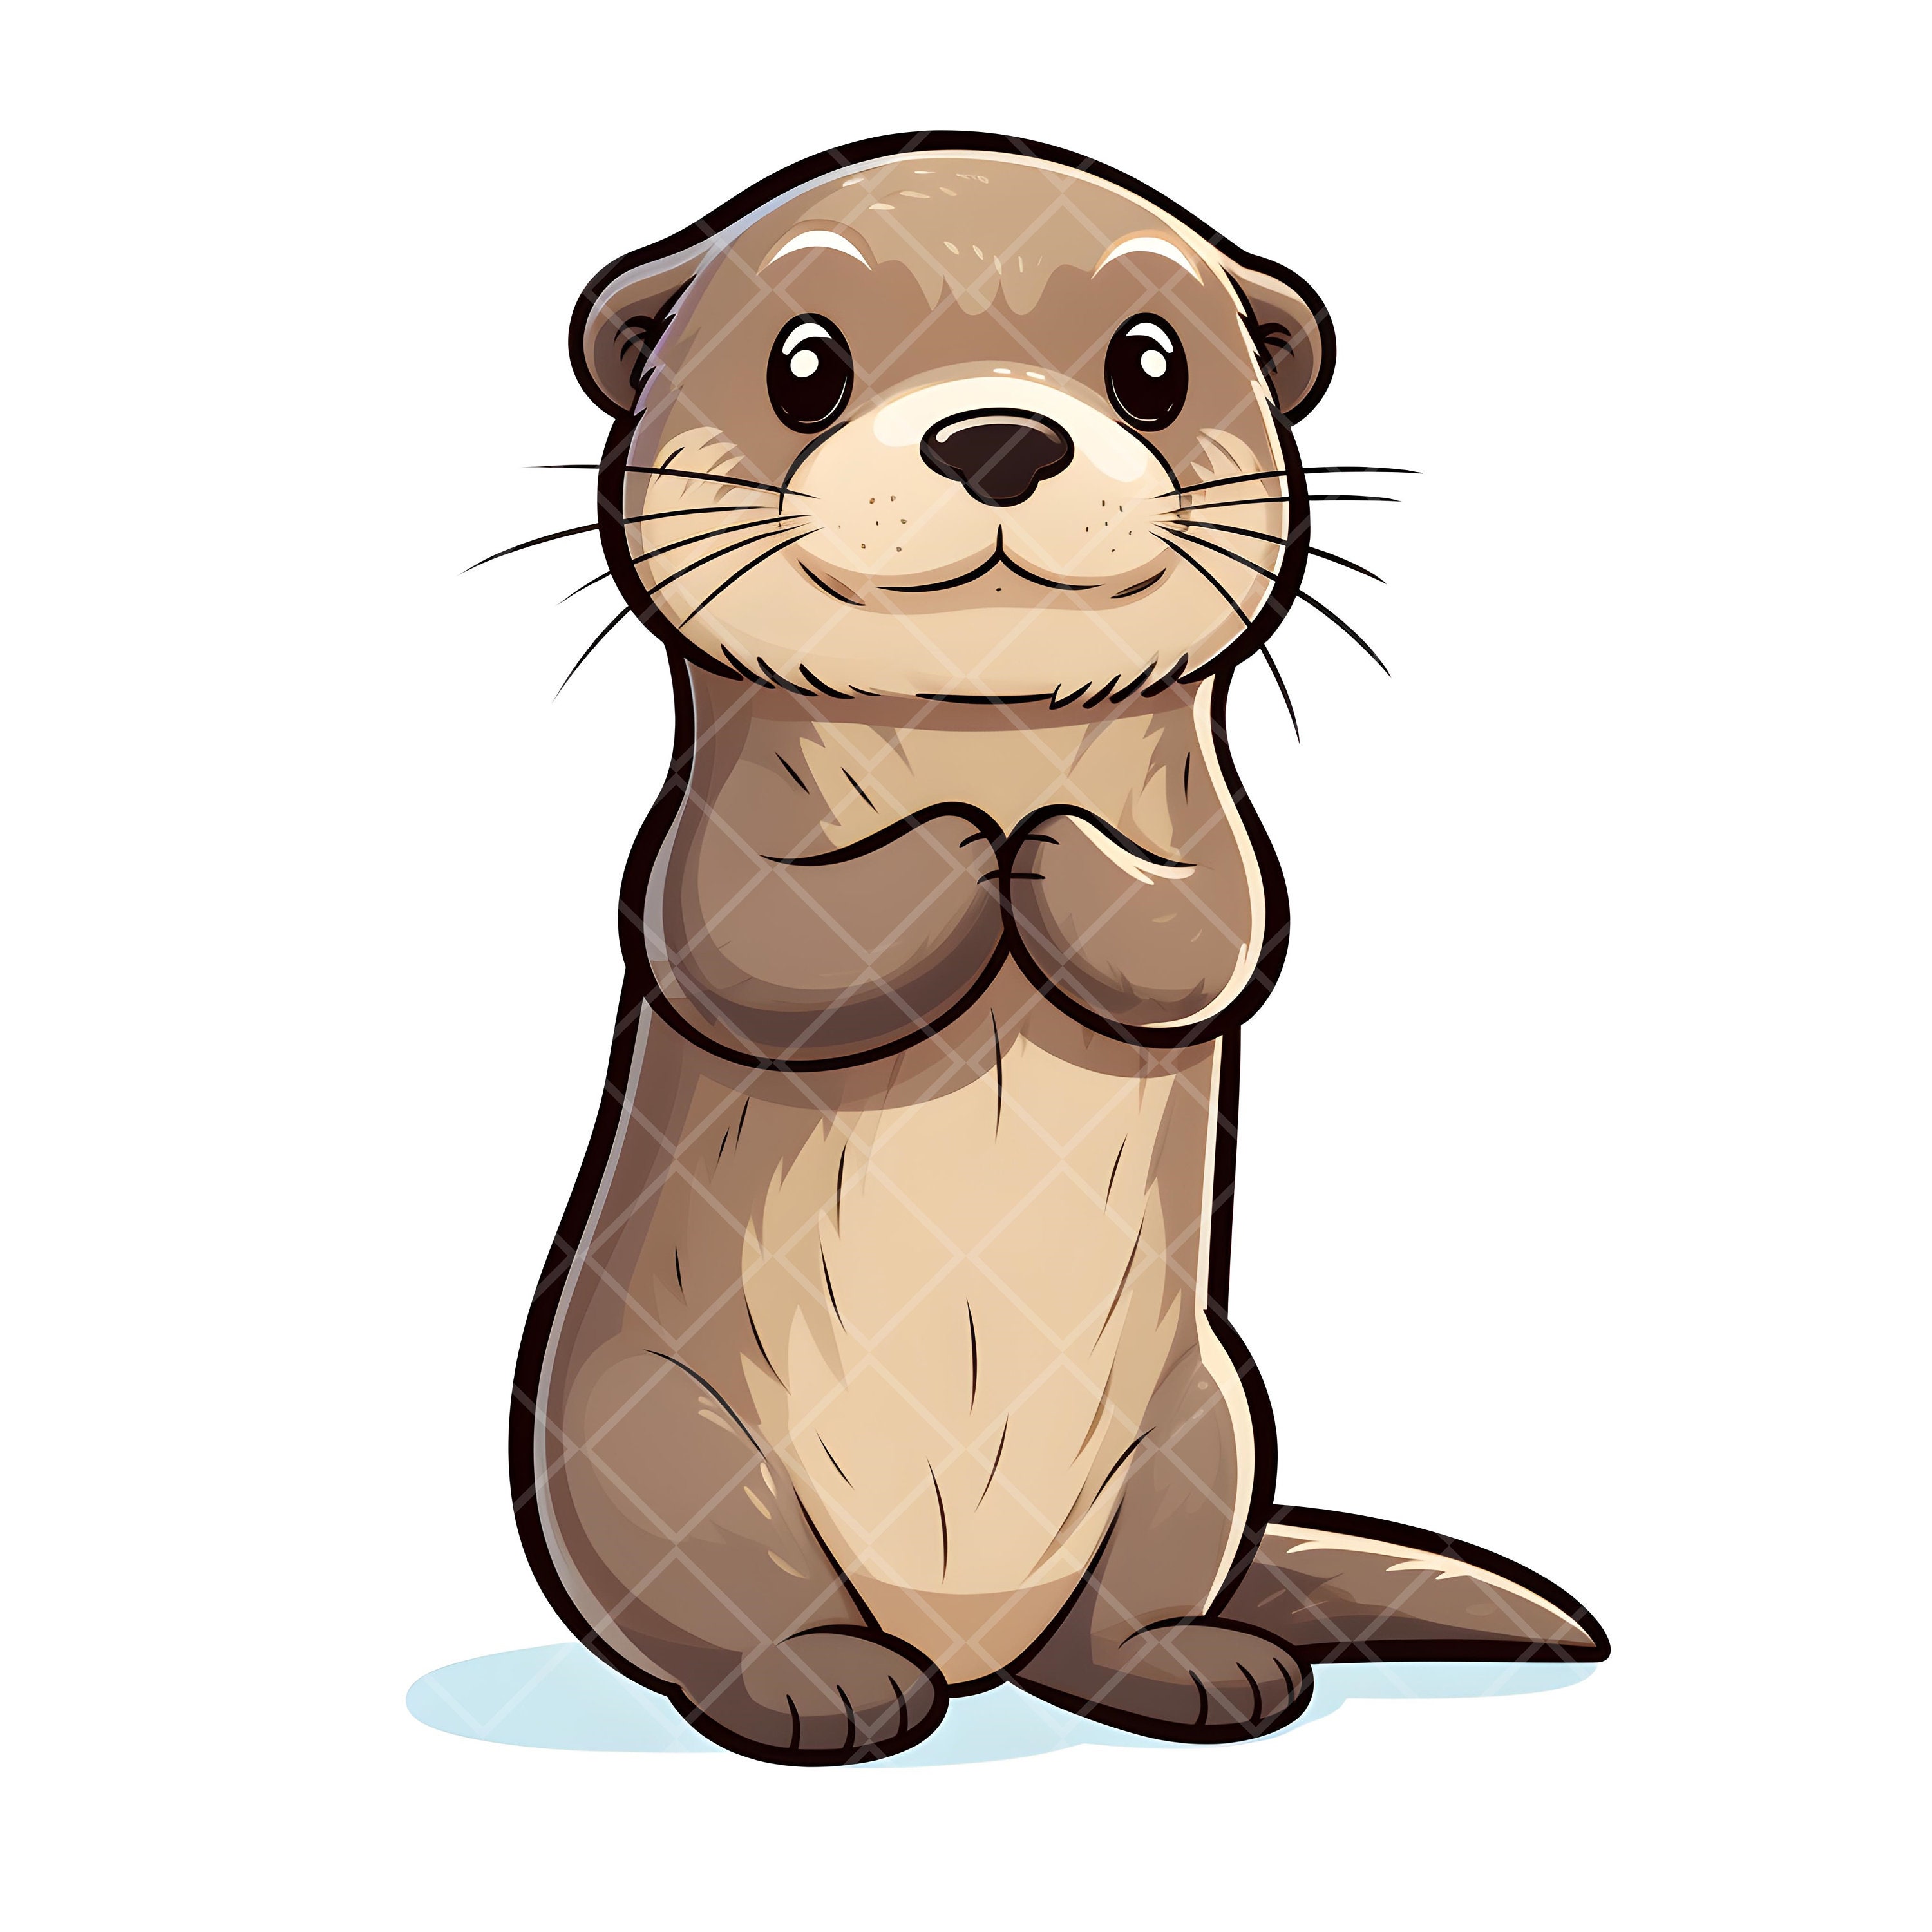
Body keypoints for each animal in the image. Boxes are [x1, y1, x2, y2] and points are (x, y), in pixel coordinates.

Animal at [505, 131, 1606, 1766]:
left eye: (1150, 364)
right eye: (804, 364)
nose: (998, 438)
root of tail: (967, 1644)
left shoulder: (1217, 832)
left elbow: (1214, 932)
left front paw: (1042, 854)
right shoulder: (705, 839)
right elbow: (746, 943)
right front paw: (977, 846)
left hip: (1202, 1416)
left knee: (1120, 1610)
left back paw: (1190, 1666)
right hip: (649, 1432)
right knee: (720, 1601)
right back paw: (820, 1684)